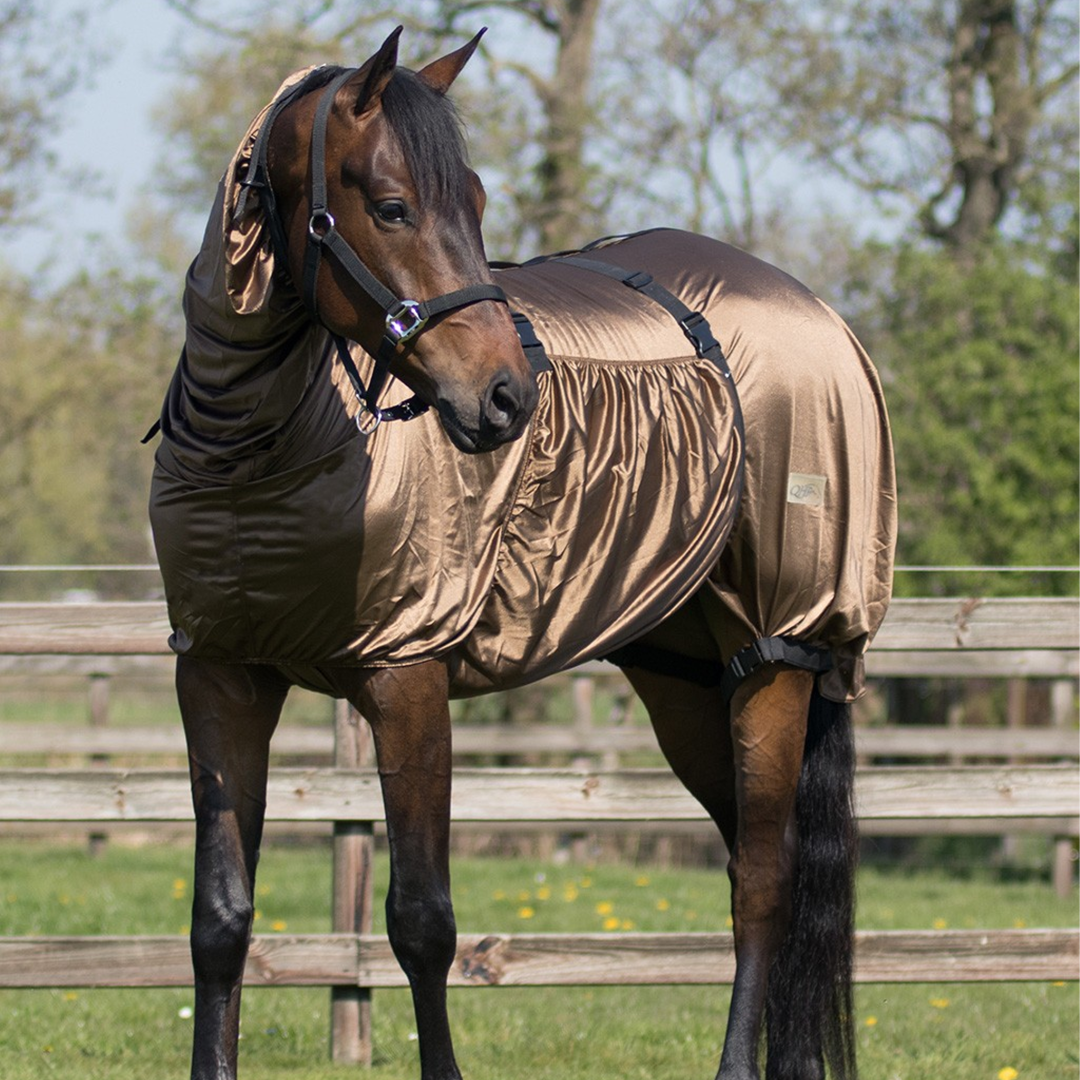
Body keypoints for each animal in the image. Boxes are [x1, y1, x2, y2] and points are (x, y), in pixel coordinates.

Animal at [147, 27, 895, 1080]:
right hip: (681, 677)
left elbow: (421, 923)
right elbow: (219, 921)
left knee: (762, 880)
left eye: (477, 201)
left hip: (776, 657)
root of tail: (817, 314)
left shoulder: (406, 678)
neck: (258, 443)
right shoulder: (218, 673)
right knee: (750, 859)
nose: (507, 397)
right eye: (392, 206)